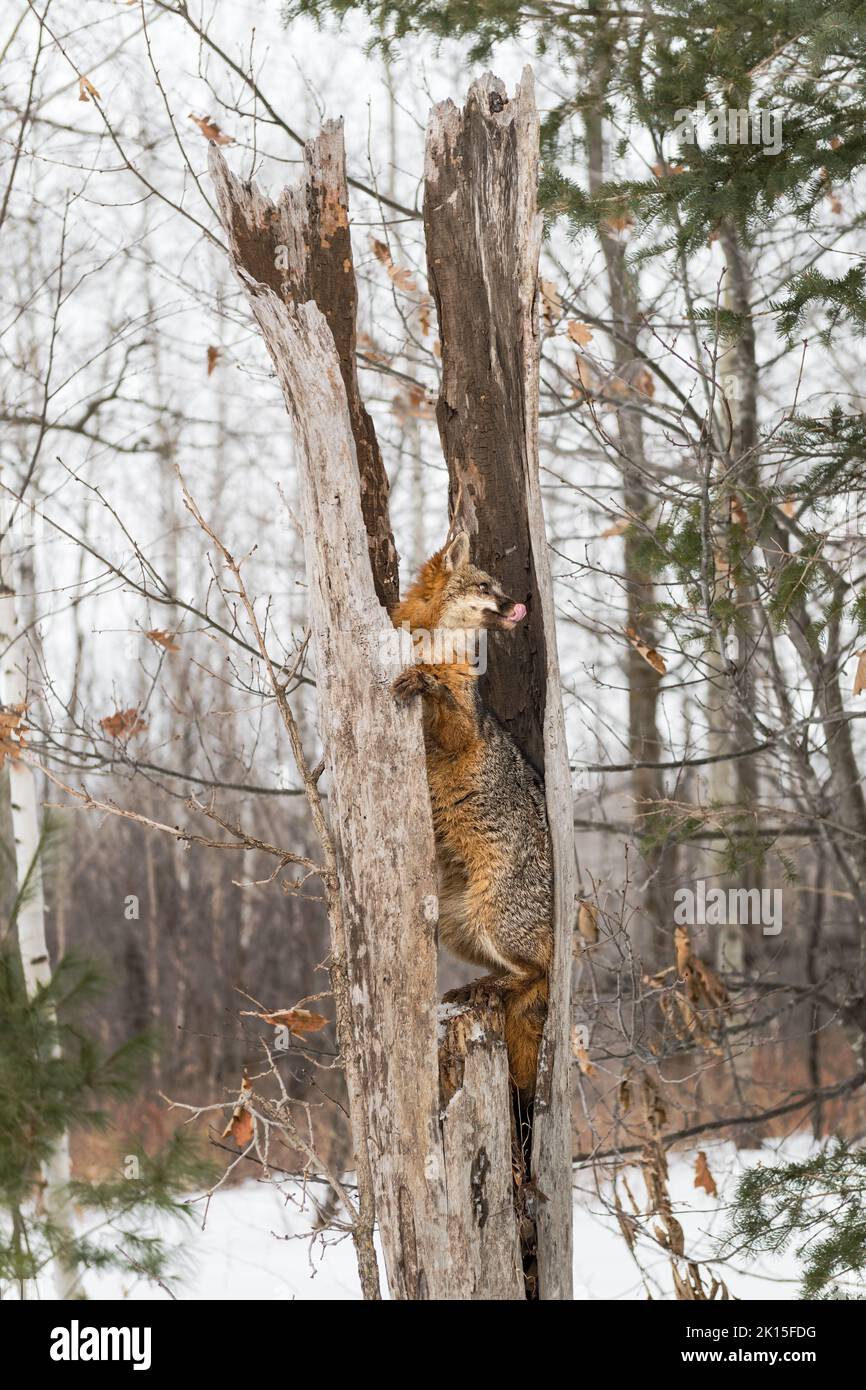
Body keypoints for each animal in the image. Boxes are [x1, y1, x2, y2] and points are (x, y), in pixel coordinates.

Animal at [391, 529, 553, 1099]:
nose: (520, 605)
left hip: (491, 921)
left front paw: (428, 683)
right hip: (460, 925)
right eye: (486, 587)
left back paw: (488, 987)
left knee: (536, 973)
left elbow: (452, 709)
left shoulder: (464, 731)